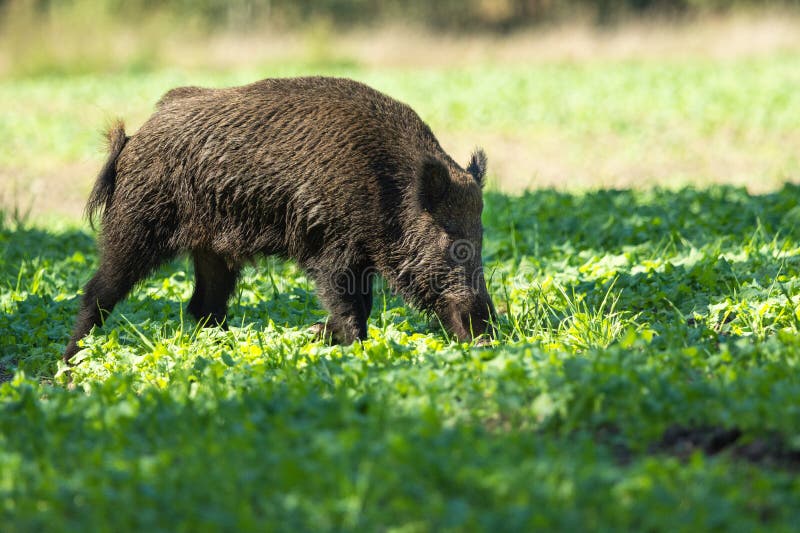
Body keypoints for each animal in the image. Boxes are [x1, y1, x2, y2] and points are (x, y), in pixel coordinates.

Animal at [63, 76, 496, 362]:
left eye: (481, 236)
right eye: (451, 239)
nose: (486, 331)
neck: (387, 187)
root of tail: (131, 139)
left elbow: (359, 303)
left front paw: (317, 334)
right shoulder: (331, 247)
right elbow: (351, 305)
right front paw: (349, 346)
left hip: (213, 251)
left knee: (204, 306)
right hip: (135, 226)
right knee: (98, 291)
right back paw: (70, 362)